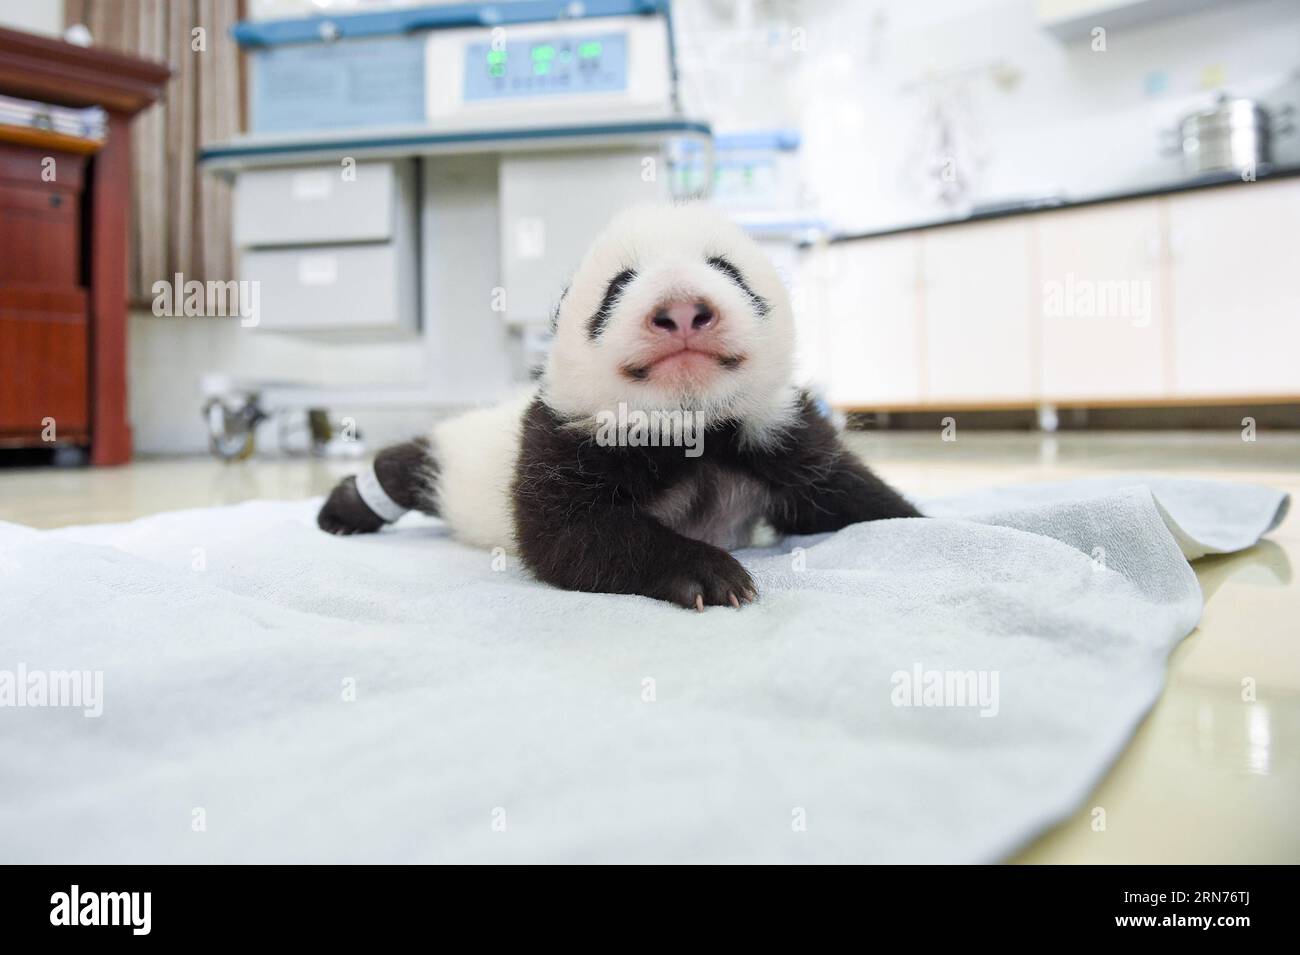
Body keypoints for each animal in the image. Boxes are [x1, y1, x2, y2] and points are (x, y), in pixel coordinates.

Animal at [317, 203, 921, 610]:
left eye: (727, 270)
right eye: (617, 287)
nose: (682, 309)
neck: (692, 425)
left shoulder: (776, 429)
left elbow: (846, 491)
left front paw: (922, 523)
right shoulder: (560, 436)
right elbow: (570, 533)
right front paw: (709, 574)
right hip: (455, 453)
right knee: (405, 465)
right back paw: (345, 509)